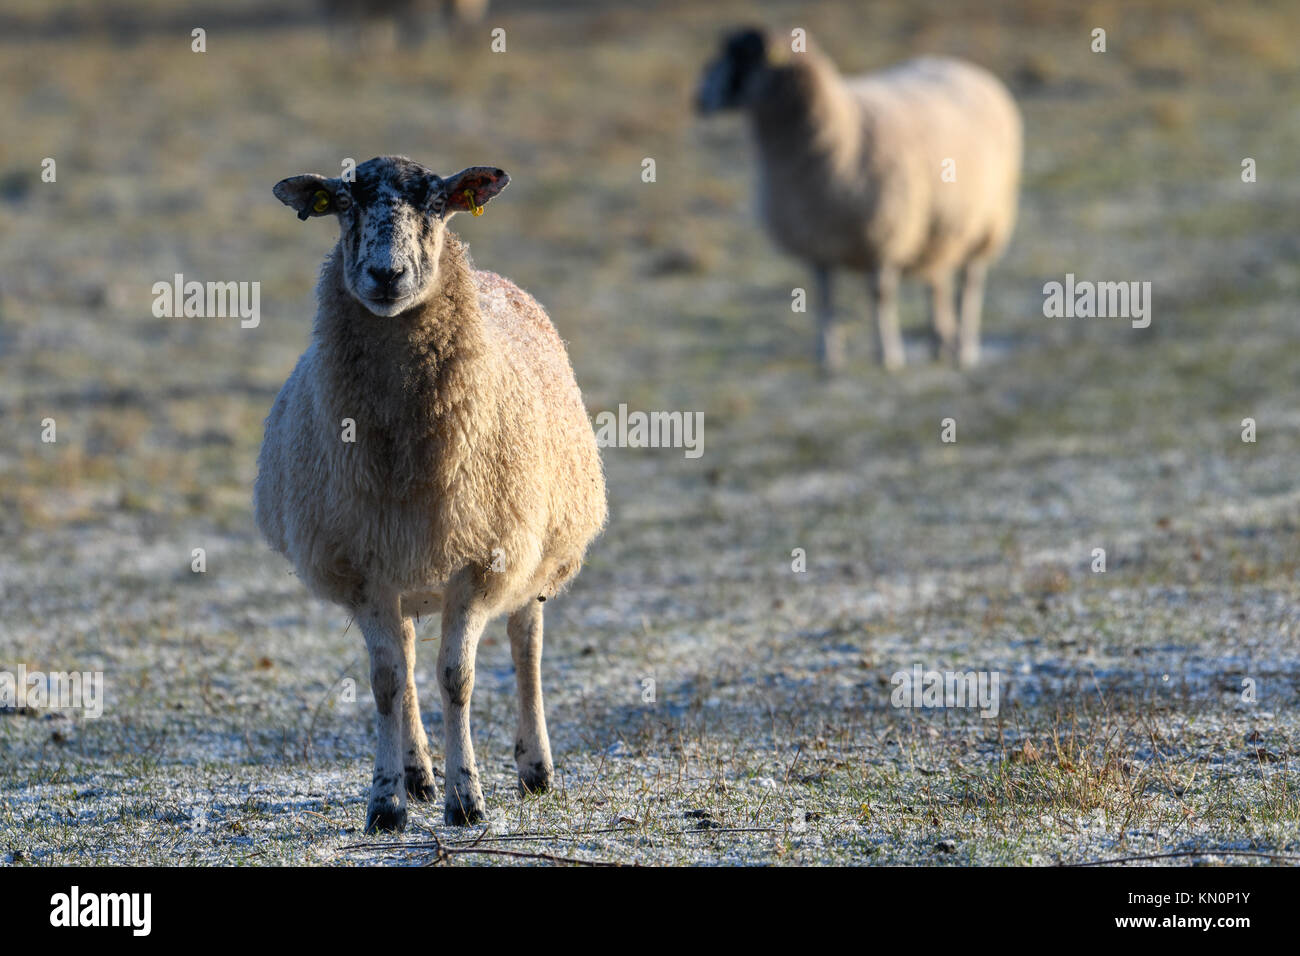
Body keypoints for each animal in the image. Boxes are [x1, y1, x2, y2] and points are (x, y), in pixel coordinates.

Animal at [254, 156, 607, 832]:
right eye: (344, 205)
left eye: (437, 206)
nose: (385, 275)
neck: (400, 456)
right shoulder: (365, 565)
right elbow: (388, 680)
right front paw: (386, 801)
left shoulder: (480, 559)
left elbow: (458, 677)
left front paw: (466, 799)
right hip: (404, 564)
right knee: (409, 658)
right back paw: (418, 773)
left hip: (533, 550)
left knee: (526, 645)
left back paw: (535, 768)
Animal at [696, 28, 1022, 372]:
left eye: (743, 58)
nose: (698, 98)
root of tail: (964, 66)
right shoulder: (817, 243)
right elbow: (824, 299)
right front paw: (827, 357)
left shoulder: (883, 236)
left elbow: (880, 296)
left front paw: (888, 356)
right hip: (940, 229)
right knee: (937, 282)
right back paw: (940, 341)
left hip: (988, 224)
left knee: (971, 284)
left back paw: (965, 347)